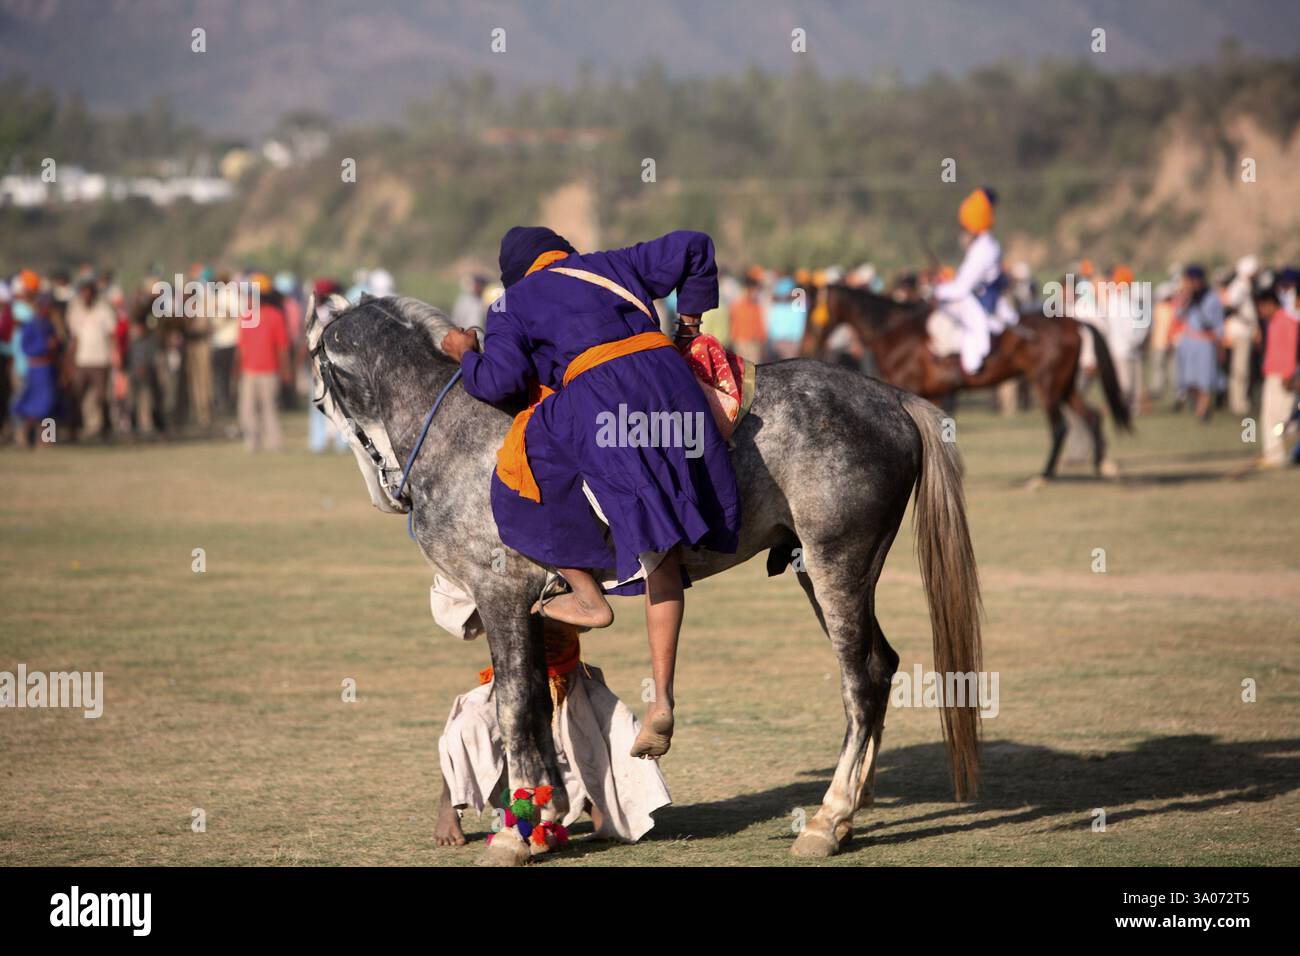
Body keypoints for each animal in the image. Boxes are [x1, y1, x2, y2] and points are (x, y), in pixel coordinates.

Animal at [307, 292, 983, 865]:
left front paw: (514, 837)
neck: (459, 429)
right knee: (883, 666)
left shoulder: (500, 596)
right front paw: (544, 814)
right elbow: (532, 702)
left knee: (860, 681)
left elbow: (514, 705)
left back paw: (827, 819)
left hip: (836, 561)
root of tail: (891, 399)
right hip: (821, 572)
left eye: (320, 396)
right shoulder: (526, 609)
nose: (387, 495)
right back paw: (846, 812)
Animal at [800, 284, 1133, 480]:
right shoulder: (930, 395)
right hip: (1065, 386)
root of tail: (1074, 322)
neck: (896, 331)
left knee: (1061, 426)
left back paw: (1045, 475)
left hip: (1048, 384)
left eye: (812, 312)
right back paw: (1102, 466)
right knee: (1092, 416)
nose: (806, 345)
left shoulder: (912, 391)